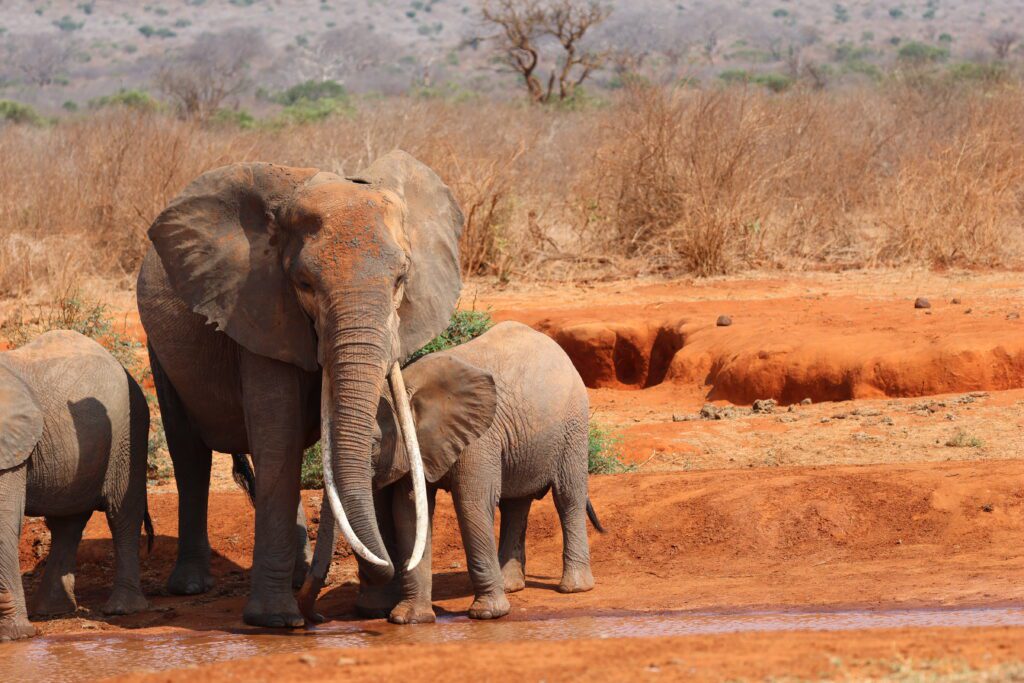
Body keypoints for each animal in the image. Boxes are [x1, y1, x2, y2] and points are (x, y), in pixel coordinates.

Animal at [0, 331, 152, 641]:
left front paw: (15, 636)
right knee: (66, 522)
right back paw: (51, 611)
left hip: (128, 432)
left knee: (122, 514)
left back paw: (122, 609)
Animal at [137, 150, 463, 628]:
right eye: (305, 285)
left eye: (401, 280)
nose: (319, 617)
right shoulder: (258, 306)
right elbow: (279, 437)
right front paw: (275, 622)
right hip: (160, 349)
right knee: (191, 454)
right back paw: (194, 586)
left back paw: (297, 575)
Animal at [298, 321, 603, 625]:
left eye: (373, 444)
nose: (319, 619)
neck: (407, 386)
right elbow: (409, 512)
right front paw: (410, 620)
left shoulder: (480, 440)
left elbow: (472, 504)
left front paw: (488, 614)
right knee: (515, 504)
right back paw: (510, 585)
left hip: (574, 424)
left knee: (568, 497)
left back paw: (574, 587)